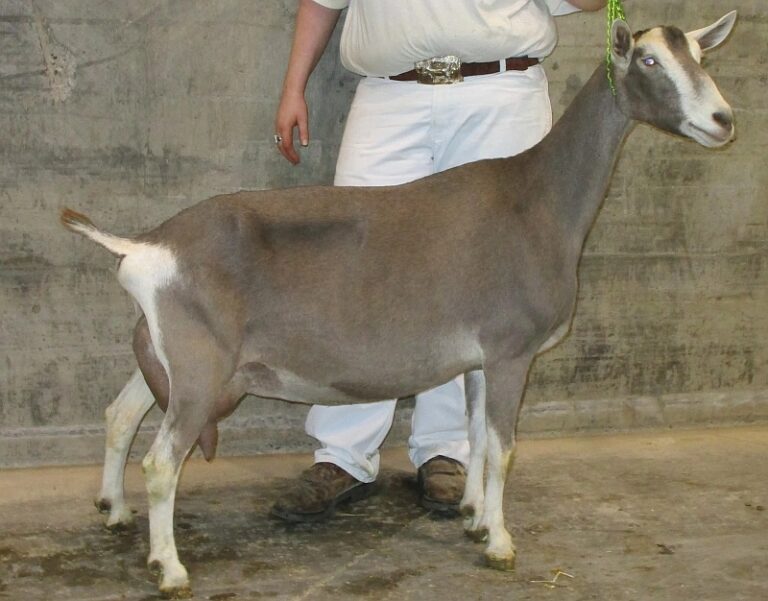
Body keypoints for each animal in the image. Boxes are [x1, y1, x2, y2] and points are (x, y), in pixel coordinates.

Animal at [62, 14, 737, 598]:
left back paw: (113, 510)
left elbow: (475, 435)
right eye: (649, 60)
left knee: (120, 414)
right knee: (161, 461)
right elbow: (504, 446)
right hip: (202, 367)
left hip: (168, 354)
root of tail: (146, 245)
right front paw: (500, 542)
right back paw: (170, 568)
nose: (724, 119)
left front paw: (471, 516)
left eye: (702, 58)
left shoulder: (478, 358)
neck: (538, 201)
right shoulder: (511, 349)